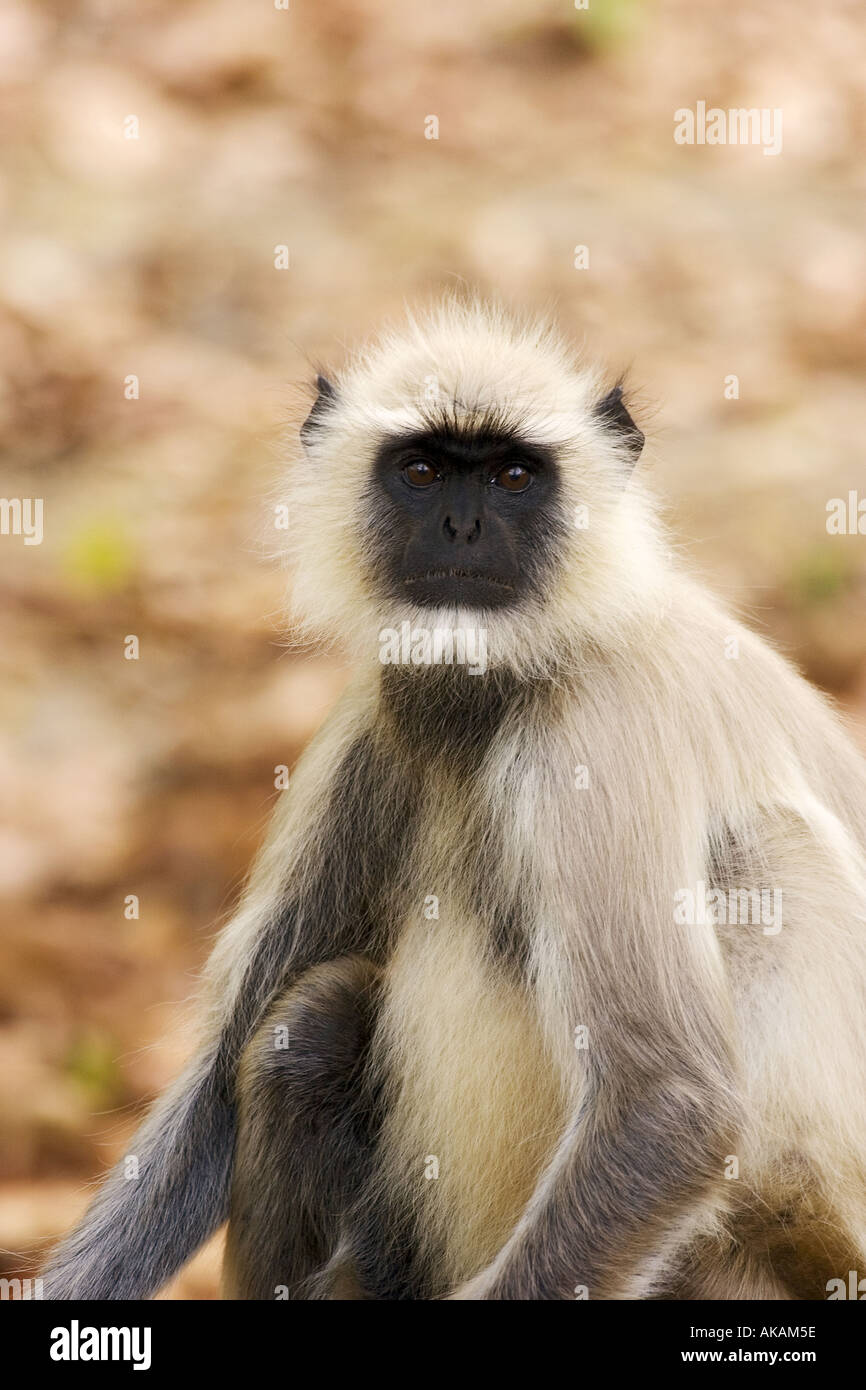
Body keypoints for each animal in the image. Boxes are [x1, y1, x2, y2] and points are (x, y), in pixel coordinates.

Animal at [42, 297, 866, 1300]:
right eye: (424, 470)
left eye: (513, 476)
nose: (463, 529)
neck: (495, 685)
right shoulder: (372, 731)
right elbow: (214, 1080)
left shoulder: (595, 731)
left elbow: (669, 1108)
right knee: (304, 1028)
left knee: (766, 854)